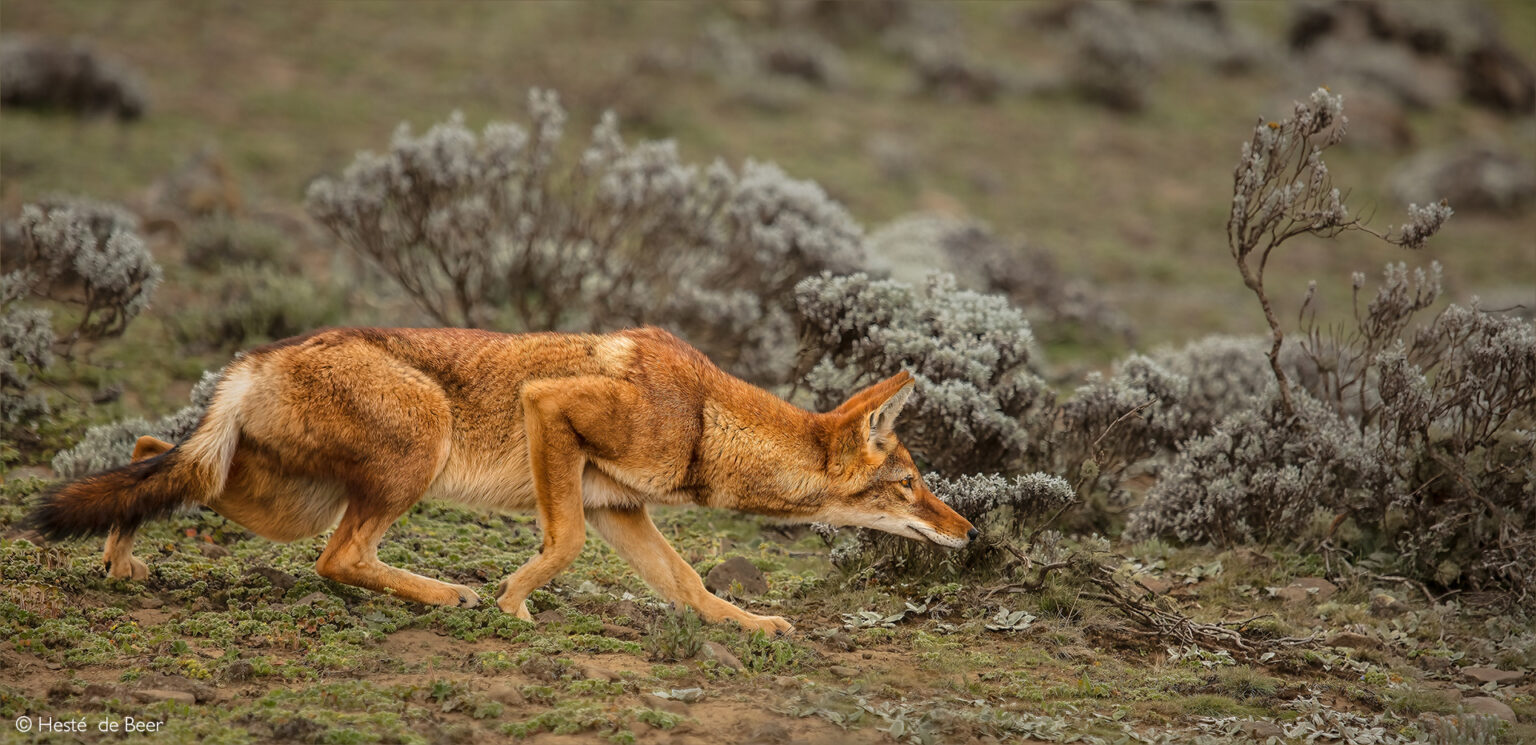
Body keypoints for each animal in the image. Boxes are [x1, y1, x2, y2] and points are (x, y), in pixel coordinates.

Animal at [28, 326, 976, 634]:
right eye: (912, 483)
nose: (969, 532)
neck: (708, 416)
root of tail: (257, 358)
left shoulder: (623, 508)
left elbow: (692, 585)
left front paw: (753, 625)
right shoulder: (551, 409)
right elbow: (561, 546)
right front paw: (515, 603)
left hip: (266, 495)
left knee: (154, 446)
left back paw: (119, 563)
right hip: (397, 464)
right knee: (338, 559)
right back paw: (453, 595)